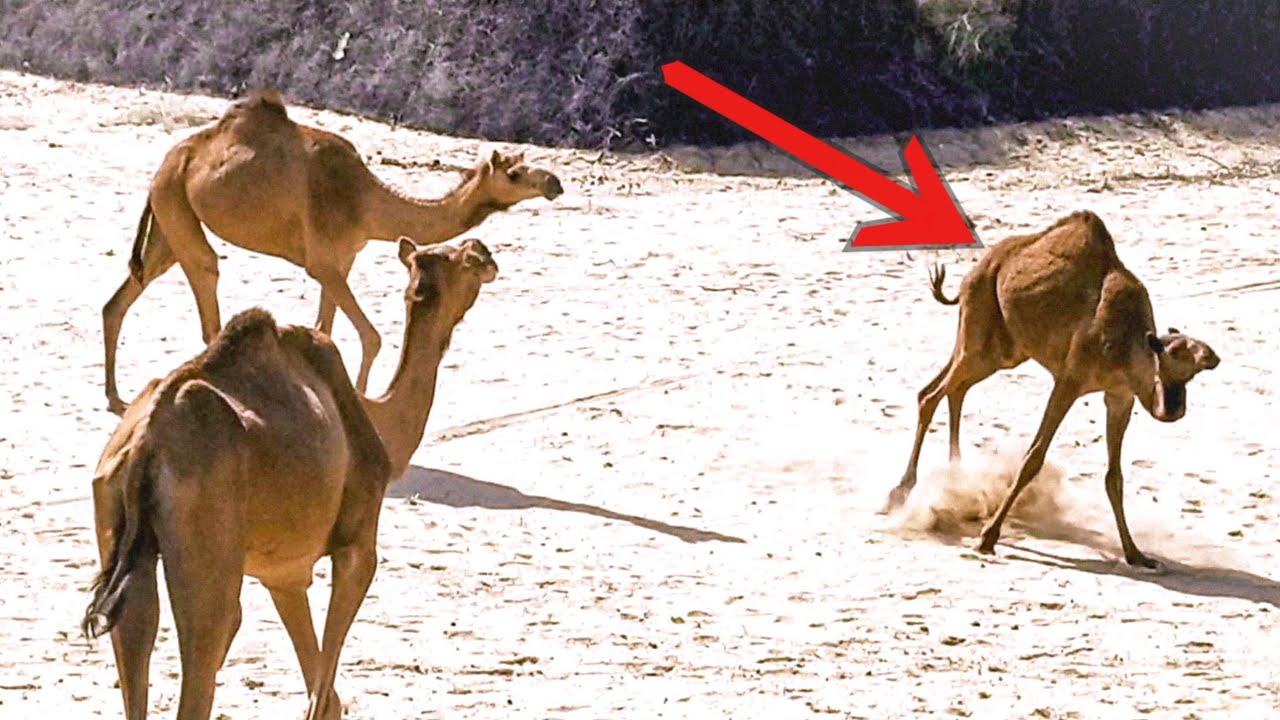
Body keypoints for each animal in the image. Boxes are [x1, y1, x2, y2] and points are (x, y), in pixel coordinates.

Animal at [83, 237, 499, 719]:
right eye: (464, 259)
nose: (486, 252)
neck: (378, 423)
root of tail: (144, 447)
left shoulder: (283, 573)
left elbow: (324, 690)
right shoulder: (357, 545)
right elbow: (323, 695)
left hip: (113, 511)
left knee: (135, 628)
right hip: (207, 543)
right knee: (209, 636)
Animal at [102, 88, 562, 414]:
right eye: (515, 173)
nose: (554, 182)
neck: (366, 203)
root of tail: (170, 159)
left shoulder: (345, 259)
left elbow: (325, 329)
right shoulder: (322, 261)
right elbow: (370, 336)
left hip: (168, 217)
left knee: (126, 293)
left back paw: (113, 397)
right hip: (173, 200)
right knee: (206, 271)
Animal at [883, 210, 1220, 568]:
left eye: (1195, 366)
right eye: (1176, 353)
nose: (1212, 357)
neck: (1127, 344)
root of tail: (975, 271)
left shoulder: (1120, 396)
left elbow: (1114, 477)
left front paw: (1135, 553)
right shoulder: (1069, 381)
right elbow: (1033, 457)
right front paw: (987, 539)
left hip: (1002, 352)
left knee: (949, 389)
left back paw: (956, 480)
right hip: (979, 331)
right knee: (932, 395)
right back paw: (901, 493)